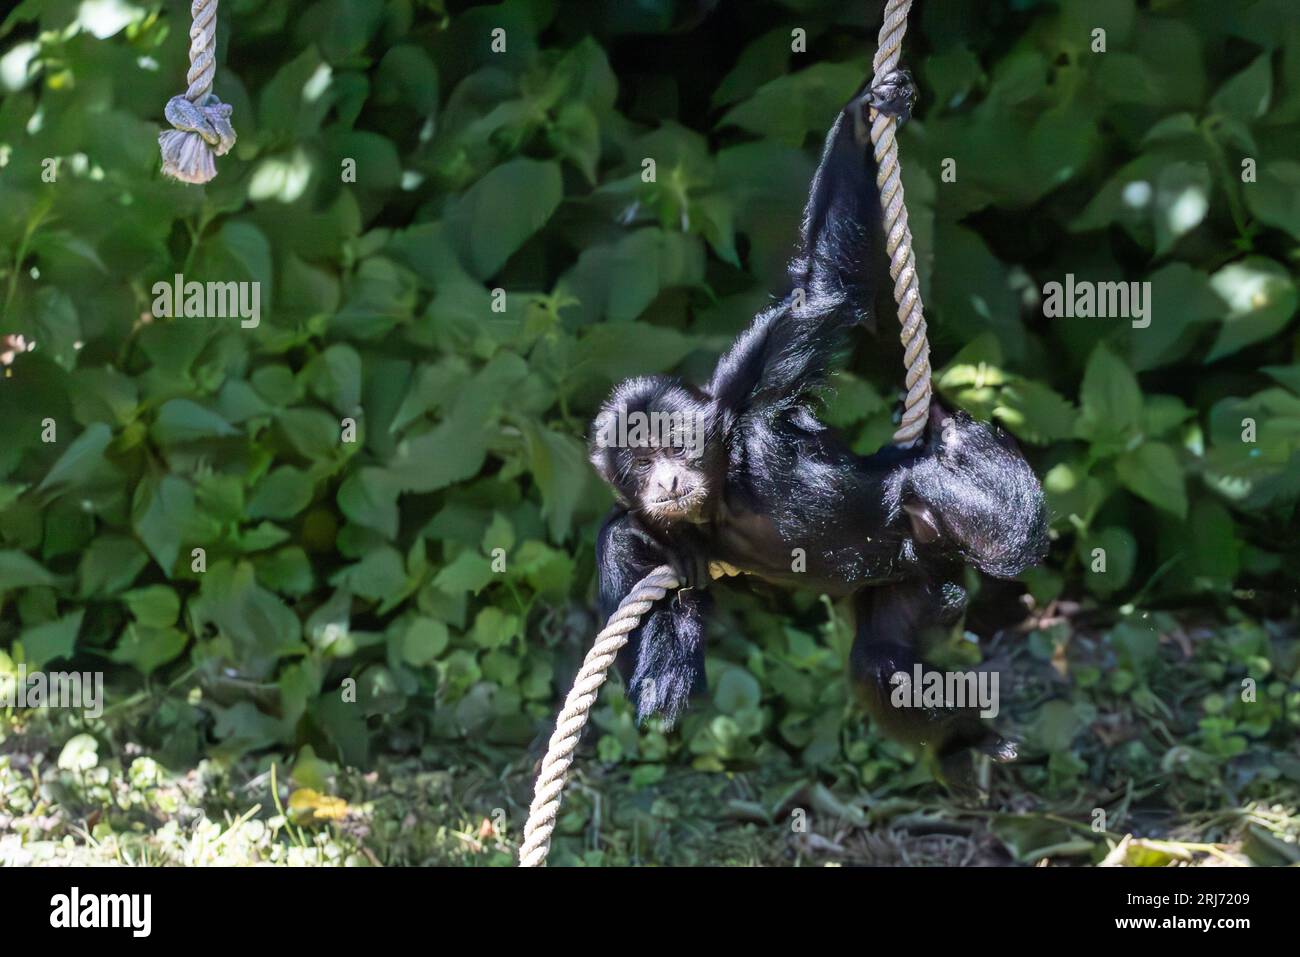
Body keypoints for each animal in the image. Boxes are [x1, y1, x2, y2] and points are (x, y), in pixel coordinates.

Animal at [587, 70, 1048, 771]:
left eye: (679, 449)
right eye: (642, 462)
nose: (666, 481)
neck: (725, 492)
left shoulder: (746, 400)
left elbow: (822, 295)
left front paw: (859, 117)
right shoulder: (623, 533)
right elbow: (657, 682)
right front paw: (683, 561)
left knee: (989, 526)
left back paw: (956, 439)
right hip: (912, 579)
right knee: (880, 665)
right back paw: (961, 744)